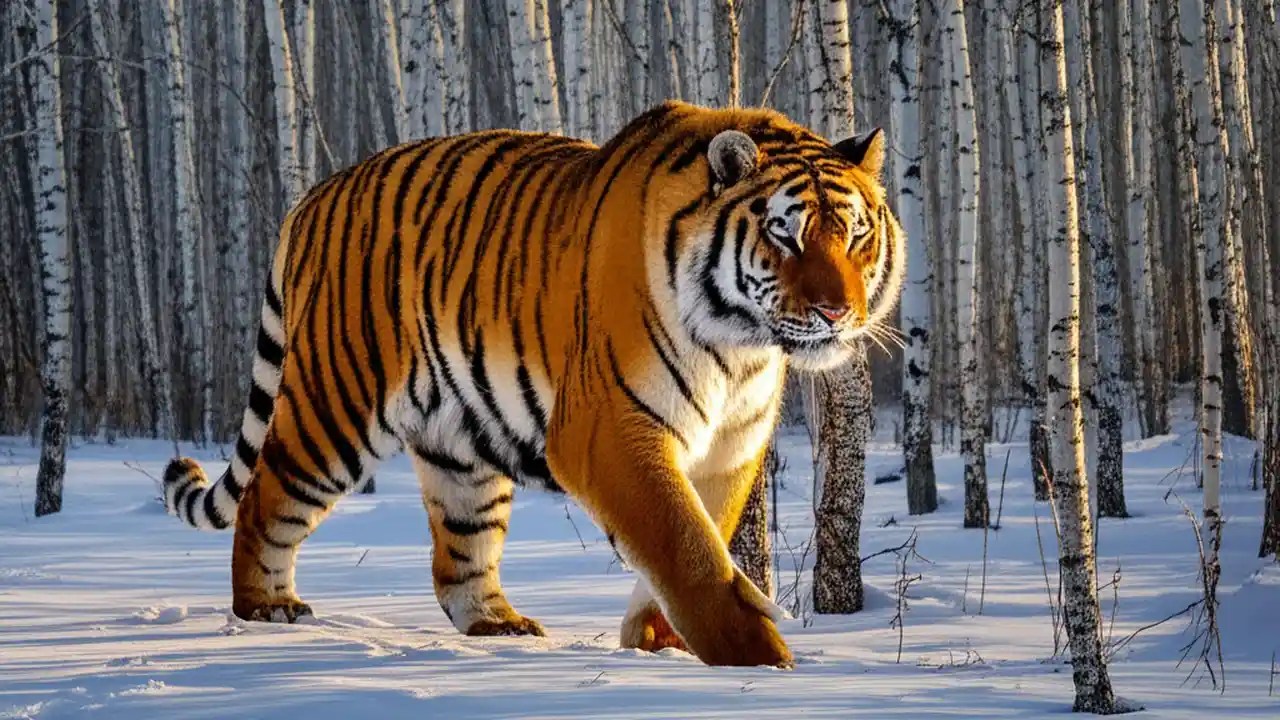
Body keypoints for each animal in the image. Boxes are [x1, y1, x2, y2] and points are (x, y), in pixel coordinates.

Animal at [162, 100, 905, 667]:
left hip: (458, 443)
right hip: (334, 406)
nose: (837, 312)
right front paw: (758, 660)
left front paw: (656, 639)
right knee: (265, 498)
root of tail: (313, 196)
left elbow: (706, 532)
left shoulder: (731, 444)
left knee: (459, 555)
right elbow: (685, 545)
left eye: (855, 235)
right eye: (785, 235)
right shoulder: (610, 431)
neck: (741, 345)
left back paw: (498, 623)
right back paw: (267, 609)